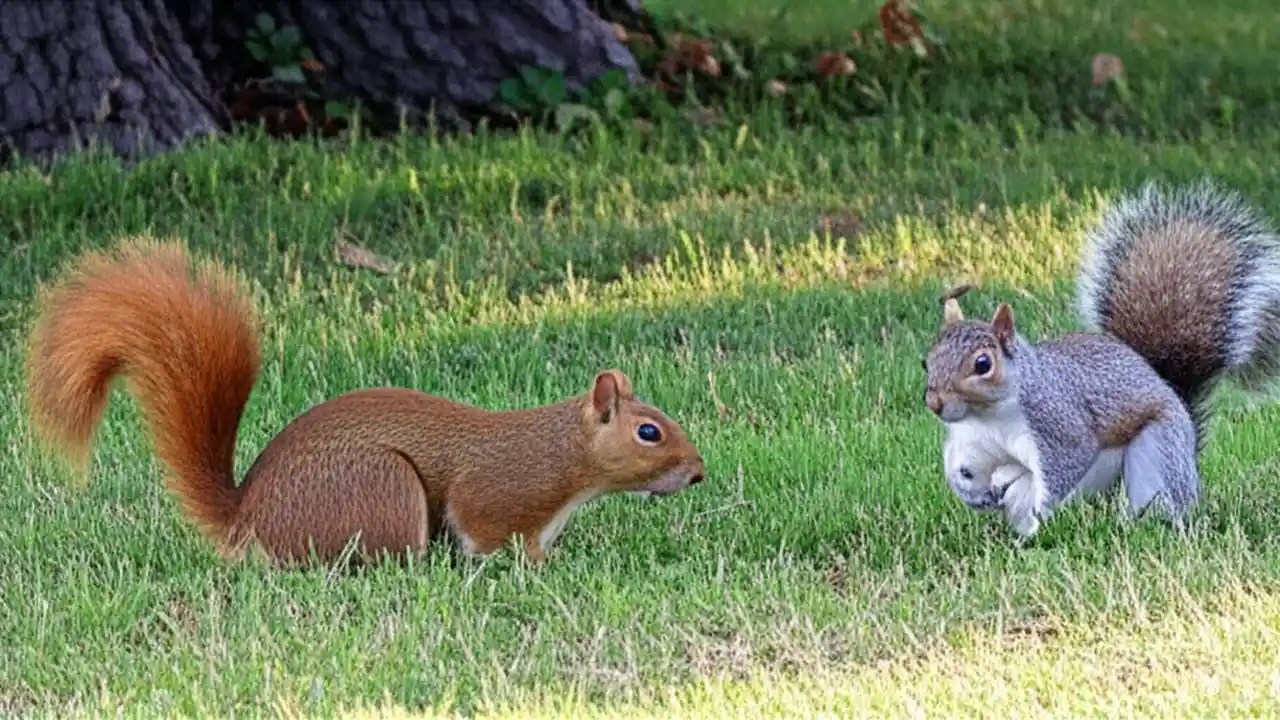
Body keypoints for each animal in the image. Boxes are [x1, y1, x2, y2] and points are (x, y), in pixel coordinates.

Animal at [24, 239, 707, 566]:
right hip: (380, 489)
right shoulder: (501, 492)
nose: (699, 473)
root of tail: (247, 521)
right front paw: (540, 568)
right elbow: (483, 531)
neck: (565, 457)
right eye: (649, 432)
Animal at [923, 181, 1280, 538]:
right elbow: (962, 466)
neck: (988, 415)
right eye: (927, 362)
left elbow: (1060, 469)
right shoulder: (971, 442)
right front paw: (972, 494)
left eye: (982, 364)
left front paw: (1037, 522)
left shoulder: (1057, 423)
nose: (935, 403)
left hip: (1157, 448)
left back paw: (1139, 525)